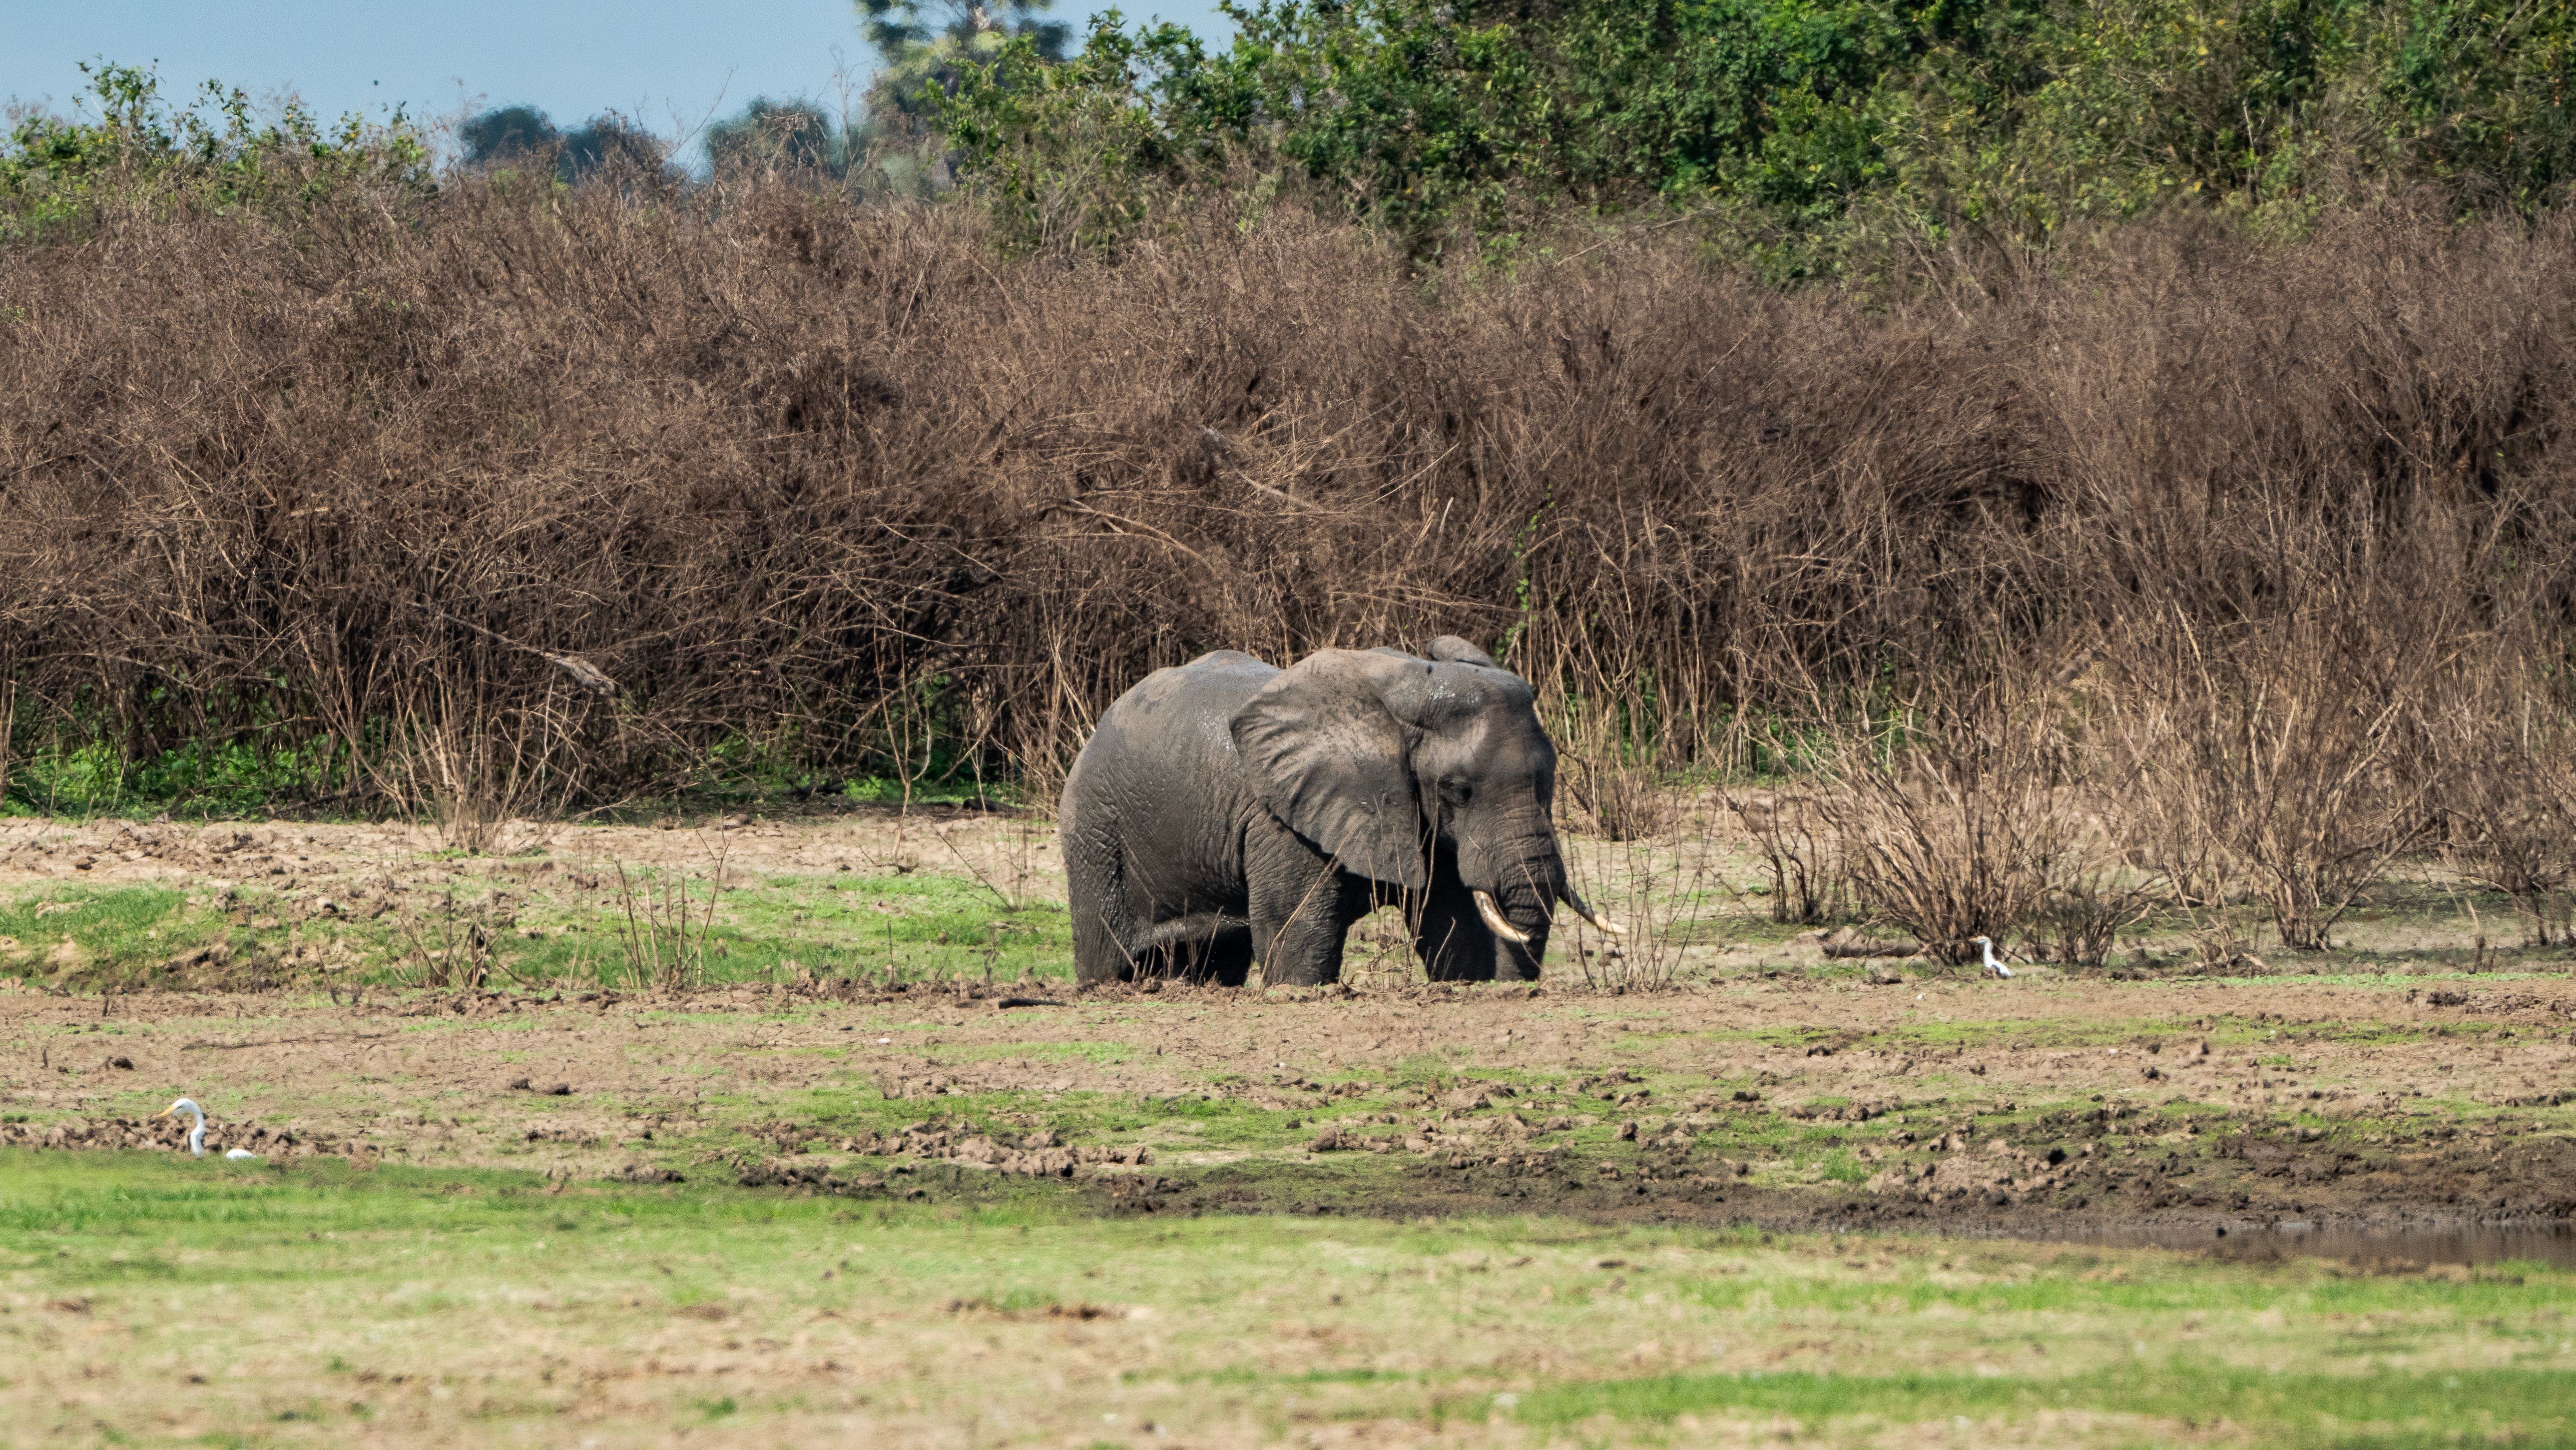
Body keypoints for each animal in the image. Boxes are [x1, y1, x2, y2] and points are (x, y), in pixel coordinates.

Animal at [1059, 636, 1620, 986]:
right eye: (1458, 790)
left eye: (1550, 780)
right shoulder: (1281, 821)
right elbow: (1301, 937)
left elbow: (1454, 926)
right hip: (1095, 831)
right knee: (1107, 958)